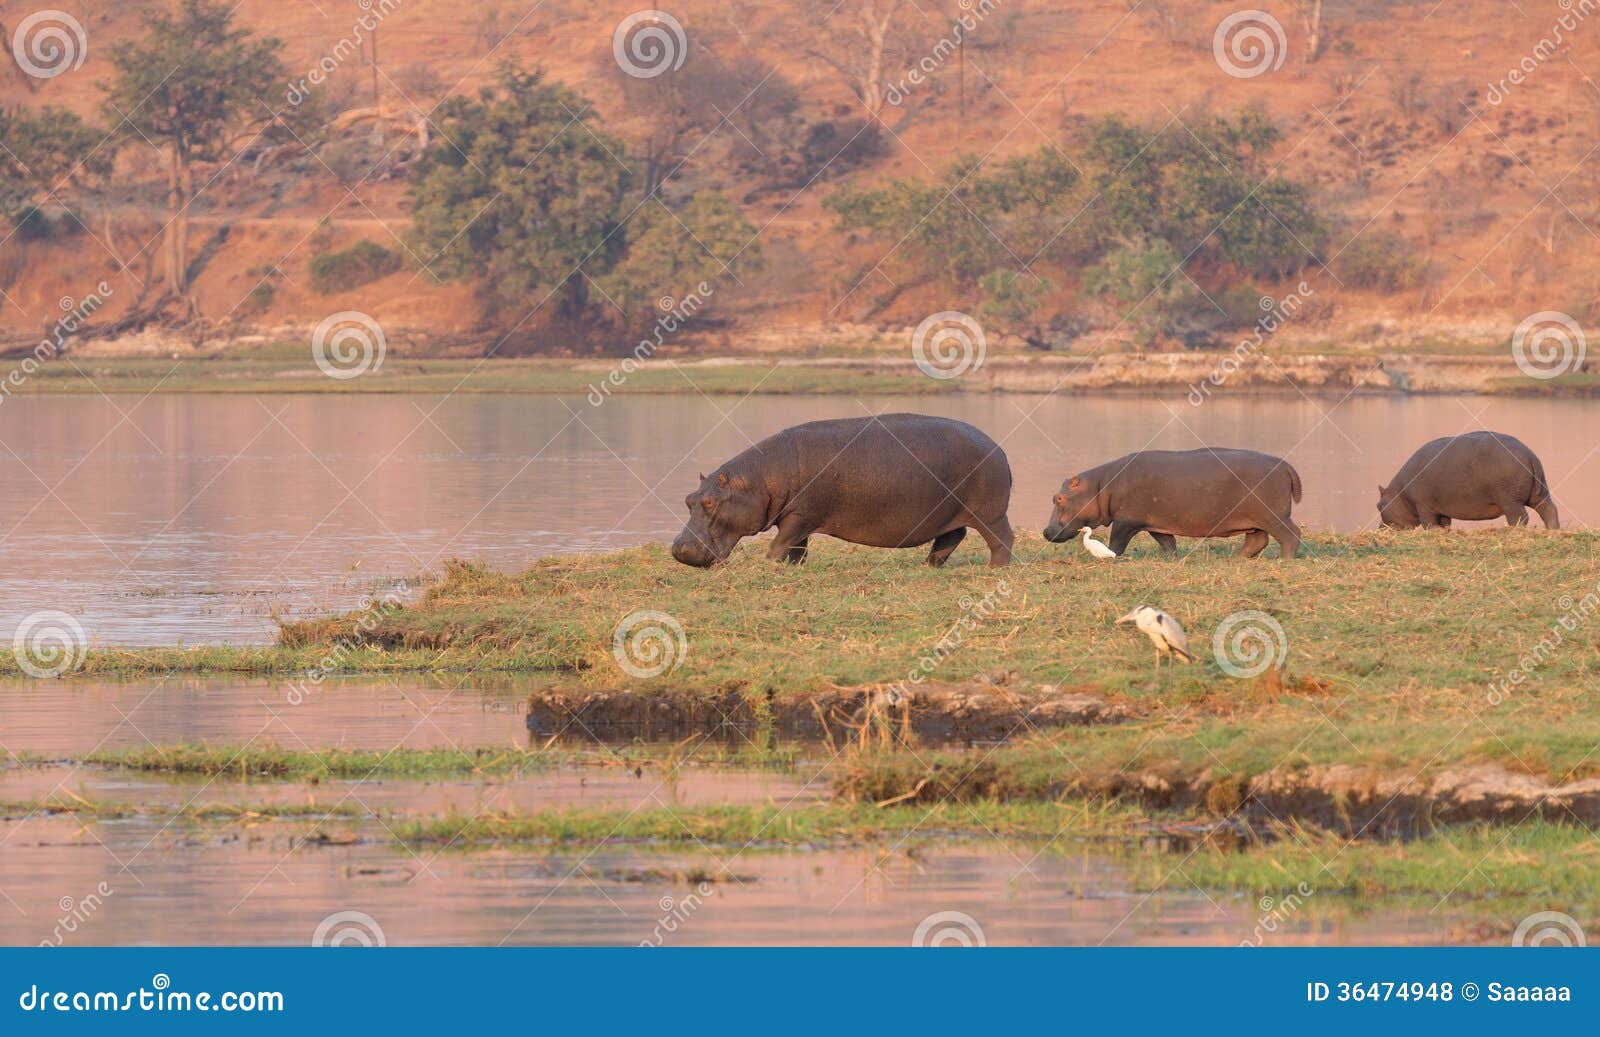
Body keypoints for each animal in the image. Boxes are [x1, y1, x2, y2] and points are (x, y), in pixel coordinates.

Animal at [671, 413, 1014, 568]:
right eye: (688, 500)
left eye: (710, 502)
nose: (678, 549)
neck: (757, 480)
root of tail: (999, 448)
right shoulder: (798, 519)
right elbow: (796, 548)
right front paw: (794, 568)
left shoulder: (800, 516)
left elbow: (779, 545)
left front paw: (770, 565)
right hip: (949, 514)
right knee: (950, 537)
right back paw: (929, 566)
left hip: (991, 513)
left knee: (1002, 539)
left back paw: (994, 568)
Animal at [1043, 448, 1303, 559]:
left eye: (1059, 498)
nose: (1046, 531)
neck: (1099, 486)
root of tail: (1286, 465)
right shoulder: (1154, 522)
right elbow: (1167, 542)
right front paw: (1173, 558)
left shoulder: (1126, 520)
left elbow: (1117, 541)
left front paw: (1111, 554)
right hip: (1256, 520)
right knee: (1257, 540)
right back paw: (1237, 558)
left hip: (1274, 516)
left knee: (1290, 535)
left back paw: (1284, 560)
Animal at [1378, 431, 1558, 529]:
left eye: (1378, 506)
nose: (1379, 528)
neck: (1400, 492)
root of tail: (1529, 454)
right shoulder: (1441, 508)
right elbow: (1445, 524)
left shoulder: (1423, 505)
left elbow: (1428, 523)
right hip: (1539, 494)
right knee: (1549, 510)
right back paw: (1552, 531)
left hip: (1510, 500)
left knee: (1519, 518)